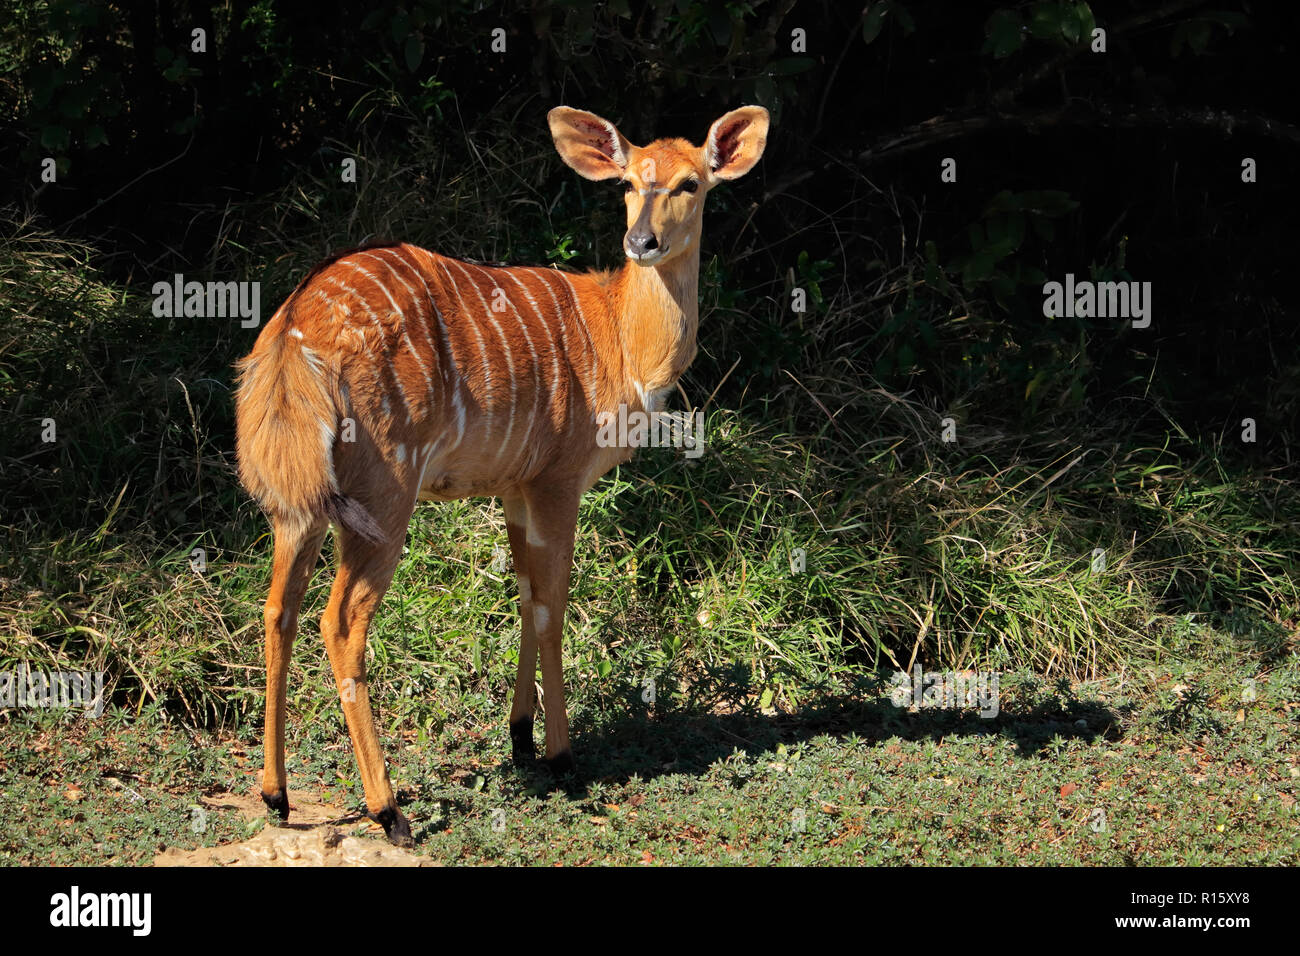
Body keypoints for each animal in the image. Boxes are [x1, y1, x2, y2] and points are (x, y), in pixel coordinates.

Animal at [234, 105, 769, 846]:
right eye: (630, 182)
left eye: (691, 182)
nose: (642, 240)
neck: (618, 337)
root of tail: (293, 329)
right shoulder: (558, 481)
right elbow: (553, 604)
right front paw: (562, 758)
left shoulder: (516, 490)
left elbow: (523, 595)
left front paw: (519, 739)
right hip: (385, 494)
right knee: (340, 621)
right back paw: (389, 811)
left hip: (302, 505)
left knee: (277, 609)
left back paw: (276, 795)